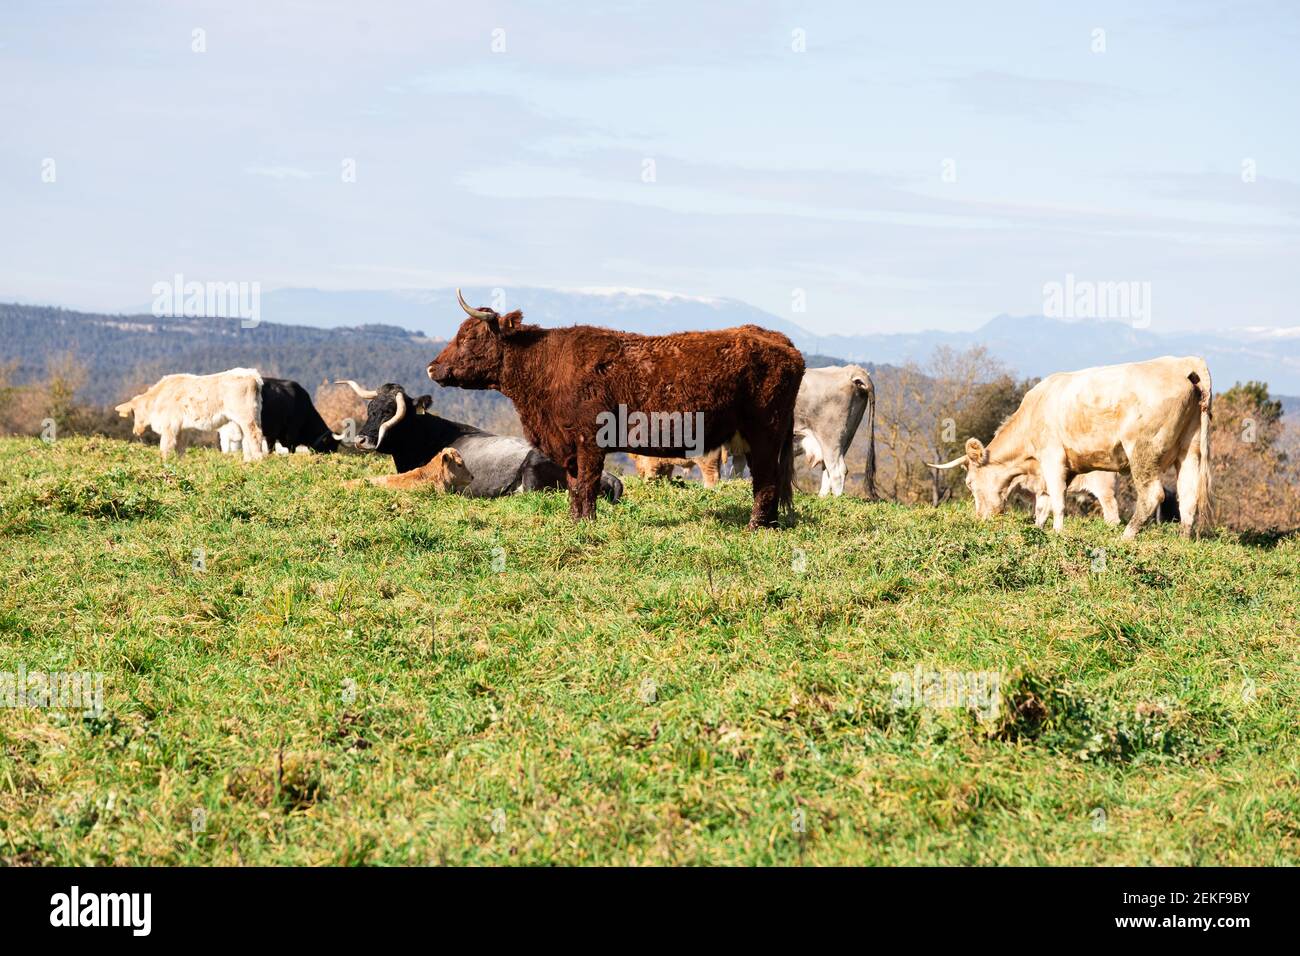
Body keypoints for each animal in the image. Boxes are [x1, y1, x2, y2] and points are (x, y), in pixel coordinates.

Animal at [115, 368, 266, 461]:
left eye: (134, 413)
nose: (135, 431)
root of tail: (252, 375)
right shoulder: (182, 428)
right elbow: (180, 448)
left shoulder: (169, 426)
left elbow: (166, 447)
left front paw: (163, 463)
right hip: (251, 416)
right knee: (247, 438)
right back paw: (247, 461)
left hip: (246, 416)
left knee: (255, 434)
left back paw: (257, 459)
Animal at [427, 290, 805, 527]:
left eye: (469, 338)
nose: (432, 367)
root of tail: (776, 337)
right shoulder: (569, 446)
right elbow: (574, 484)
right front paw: (574, 522)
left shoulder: (590, 441)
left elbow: (587, 484)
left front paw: (587, 524)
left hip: (765, 432)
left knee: (766, 481)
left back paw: (756, 527)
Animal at [926, 356, 1212, 539]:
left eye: (969, 484)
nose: (980, 519)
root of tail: (1184, 362)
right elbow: (1044, 505)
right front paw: (1040, 529)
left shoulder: (1052, 456)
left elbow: (1057, 501)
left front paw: (1057, 533)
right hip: (1190, 449)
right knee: (1187, 496)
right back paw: (1182, 541)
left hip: (1142, 451)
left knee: (1151, 495)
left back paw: (1125, 537)